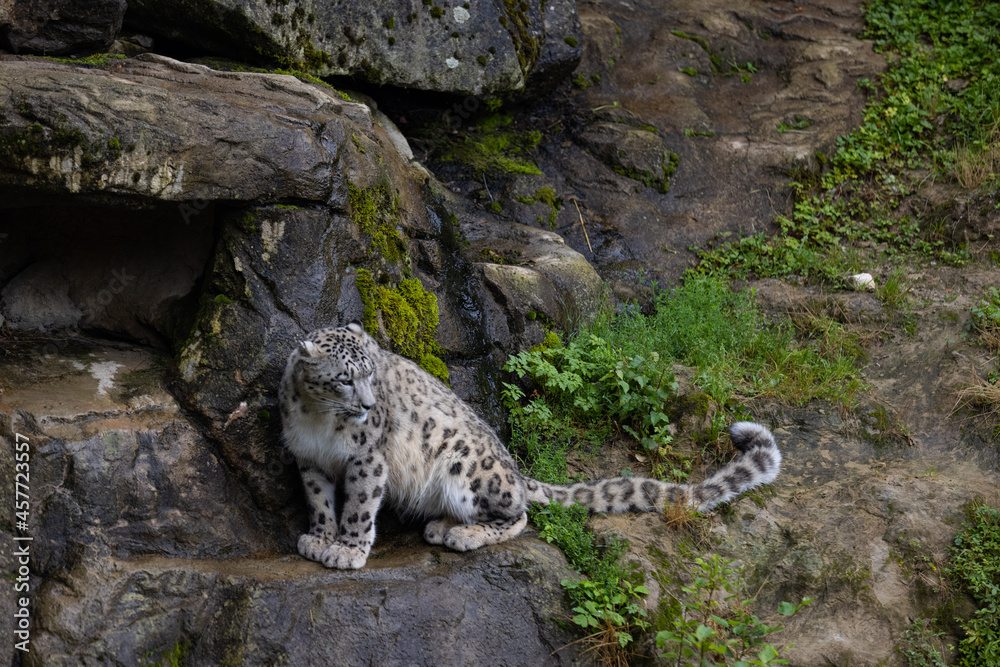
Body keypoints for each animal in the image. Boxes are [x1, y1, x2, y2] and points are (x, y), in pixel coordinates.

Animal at [279, 321, 781, 570]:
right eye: (345, 378)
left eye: (372, 374)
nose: (367, 405)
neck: (321, 422)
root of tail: (518, 472)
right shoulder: (308, 459)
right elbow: (320, 501)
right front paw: (318, 538)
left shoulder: (367, 458)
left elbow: (359, 506)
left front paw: (346, 550)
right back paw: (443, 525)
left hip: (467, 471)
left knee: (518, 514)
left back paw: (461, 533)